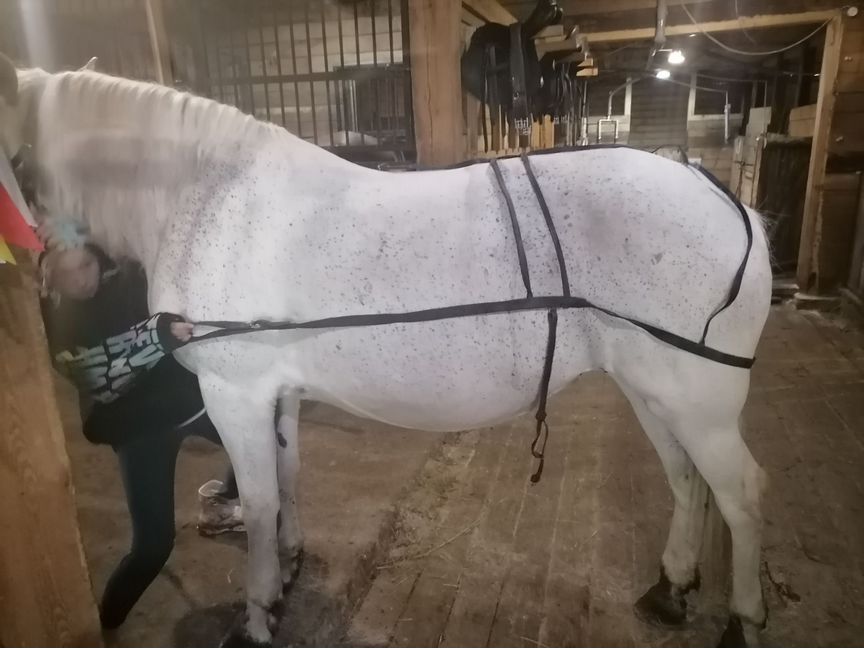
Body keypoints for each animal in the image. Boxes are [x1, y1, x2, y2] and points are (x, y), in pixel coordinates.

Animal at [0, 56, 771, 648]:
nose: (51, 280)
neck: (213, 198)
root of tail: (726, 200)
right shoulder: (277, 392)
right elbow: (287, 478)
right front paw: (289, 566)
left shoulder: (233, 392)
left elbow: (258, 499)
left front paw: (259, 613)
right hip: (651, 389)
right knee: (687, 481)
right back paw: (671, 588)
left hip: (699, 402)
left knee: (740, 493)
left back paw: (744, 618)